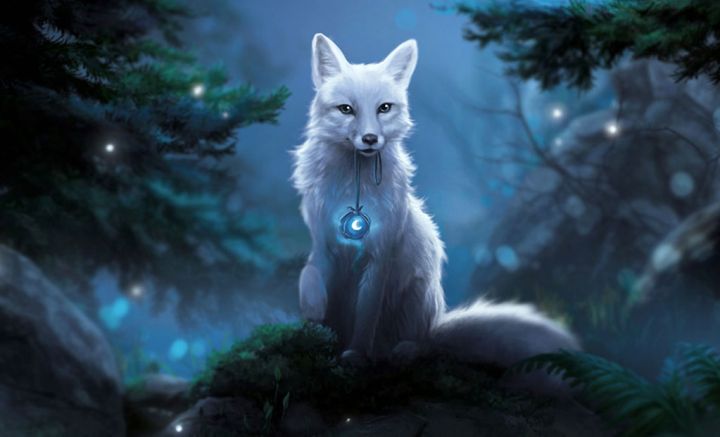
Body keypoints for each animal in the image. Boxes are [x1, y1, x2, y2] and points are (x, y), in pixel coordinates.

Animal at [291, 34, 579, 384]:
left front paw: (355, 356)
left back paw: (400, 351)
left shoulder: (380, 257)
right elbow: (309, 278)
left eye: (384, 108)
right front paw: (316, 324)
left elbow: (365, 317)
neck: (354, 188)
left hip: (418, 293)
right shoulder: (323, 245)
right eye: (346, 109)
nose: (370, 139)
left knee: (420, 344)